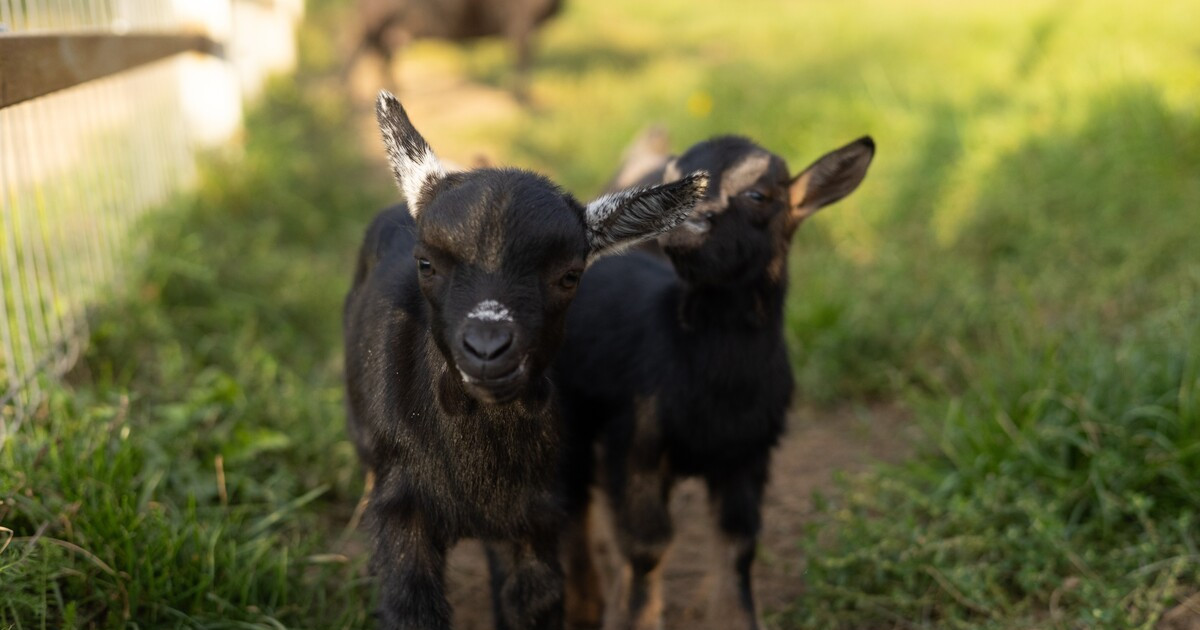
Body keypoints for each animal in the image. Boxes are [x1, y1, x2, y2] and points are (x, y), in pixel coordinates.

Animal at [342, 91, 707, 630]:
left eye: (570, 275)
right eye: (426, 263)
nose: (488, 349)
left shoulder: (533, 518)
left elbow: (533, 603)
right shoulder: (402, 510)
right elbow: (411, 606)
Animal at [346, 0, 563, 98]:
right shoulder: (521, 22)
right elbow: (523, 58)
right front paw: (523, 98)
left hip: (388, 30)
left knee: (380, 56)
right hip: (374, 22)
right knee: (356, 53)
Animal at [554, 134, 875, 630]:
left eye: (758, 195)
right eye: (675, 184)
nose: (688, 224)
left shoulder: (748, 453)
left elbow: (737, 547)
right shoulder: (637, 443)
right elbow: (647, 547)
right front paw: (632, 617)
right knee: (574, 503)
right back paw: (585, 605)